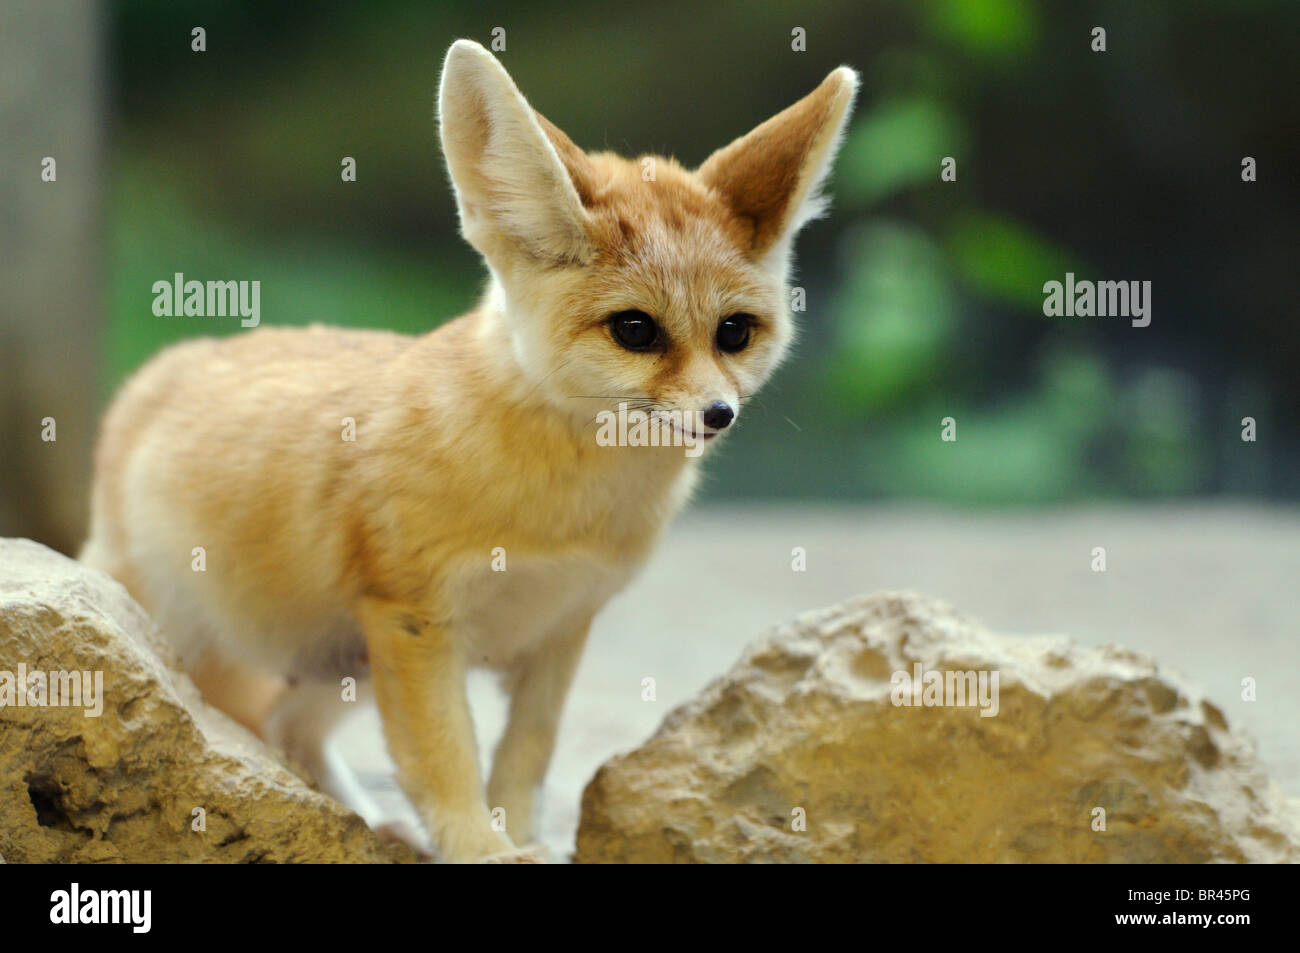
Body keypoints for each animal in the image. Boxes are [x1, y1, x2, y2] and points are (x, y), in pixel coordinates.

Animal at [80, 39, 858, 862]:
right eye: (636, 330)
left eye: (734, 333)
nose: (718, 414)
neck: (565, 511)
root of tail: (159, 371)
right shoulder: (415, 622)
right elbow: (446, 760)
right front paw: (480, 847)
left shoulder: (561, 627)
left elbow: (525, 758)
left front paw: (519, 838)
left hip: (339, 665)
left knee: (285, 725)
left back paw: (370, 822)